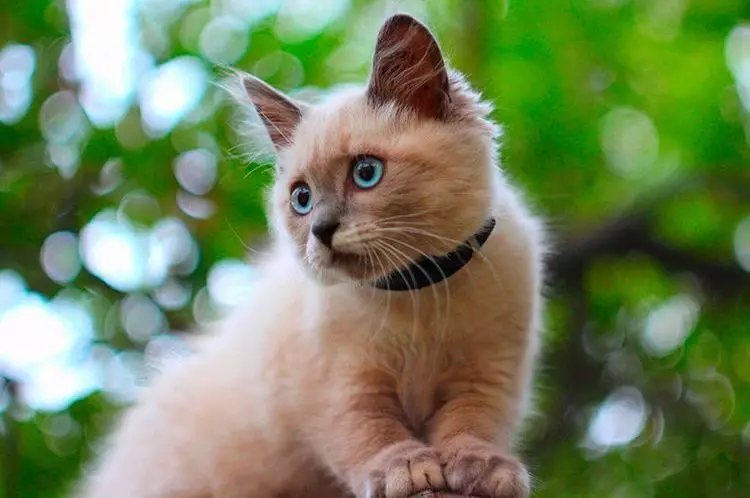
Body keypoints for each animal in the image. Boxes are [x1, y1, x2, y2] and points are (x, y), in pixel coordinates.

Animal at [78, 13, 548, 498]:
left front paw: (481, 470)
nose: (322, 231)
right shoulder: (339, 387)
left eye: (366, 173)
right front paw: (407, 469)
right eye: (301, 199)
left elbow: (470, 429)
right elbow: (372, 435)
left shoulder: (488, 375)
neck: (419, 291)